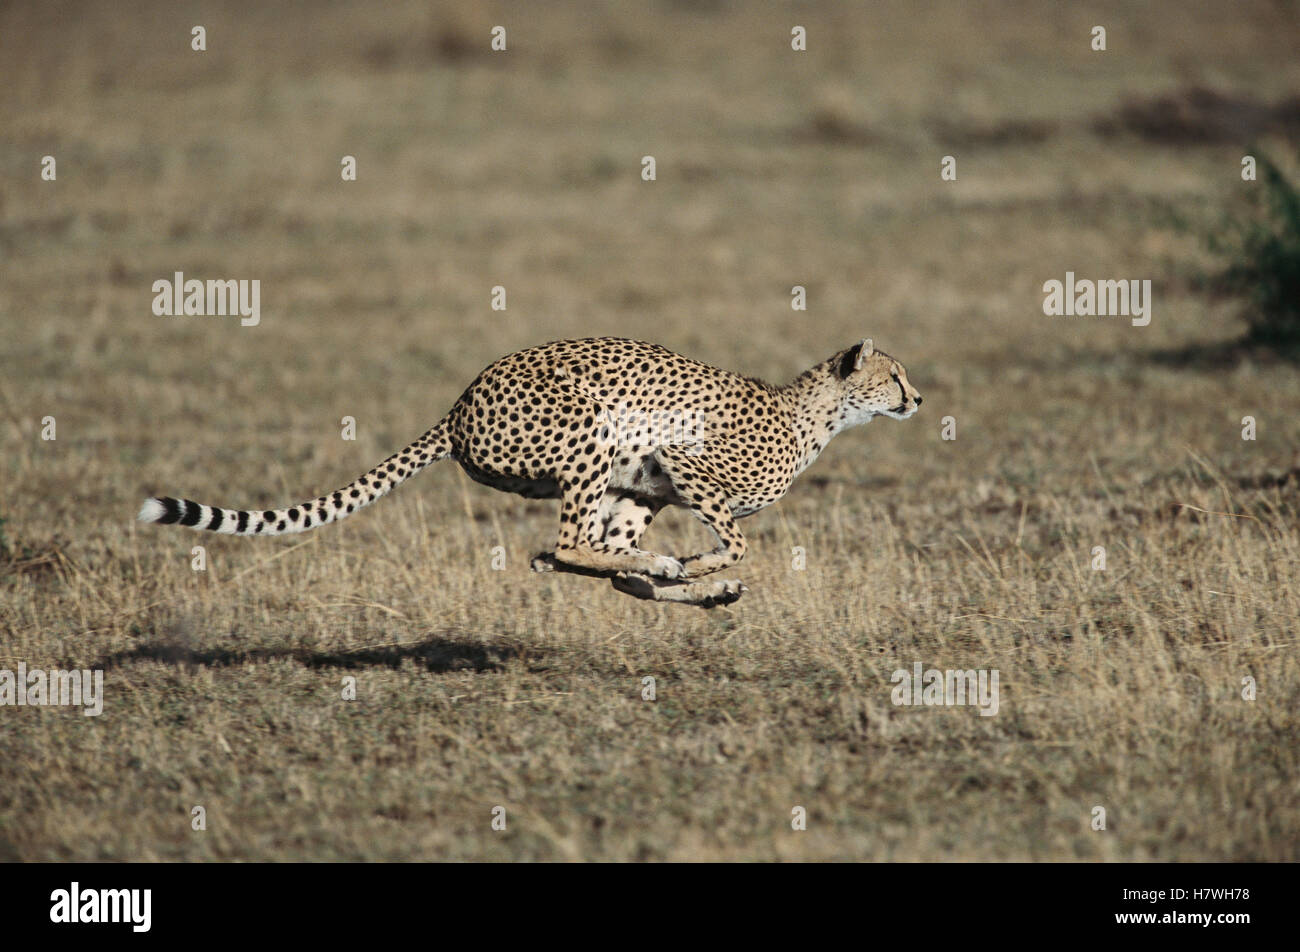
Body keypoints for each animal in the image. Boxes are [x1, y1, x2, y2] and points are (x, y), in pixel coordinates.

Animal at [138, 336, 922, 606]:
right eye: (895, 374)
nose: (918, 399)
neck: (816, 413)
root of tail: (458, 405)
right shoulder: (681, 461)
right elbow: (738, 538)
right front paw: (702, 563)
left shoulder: (653, 482)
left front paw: (702, 576)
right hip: (592, 433)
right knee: (566, 545)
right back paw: (671, 569)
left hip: (620, 482)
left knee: (570, 556)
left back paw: (676, 581)